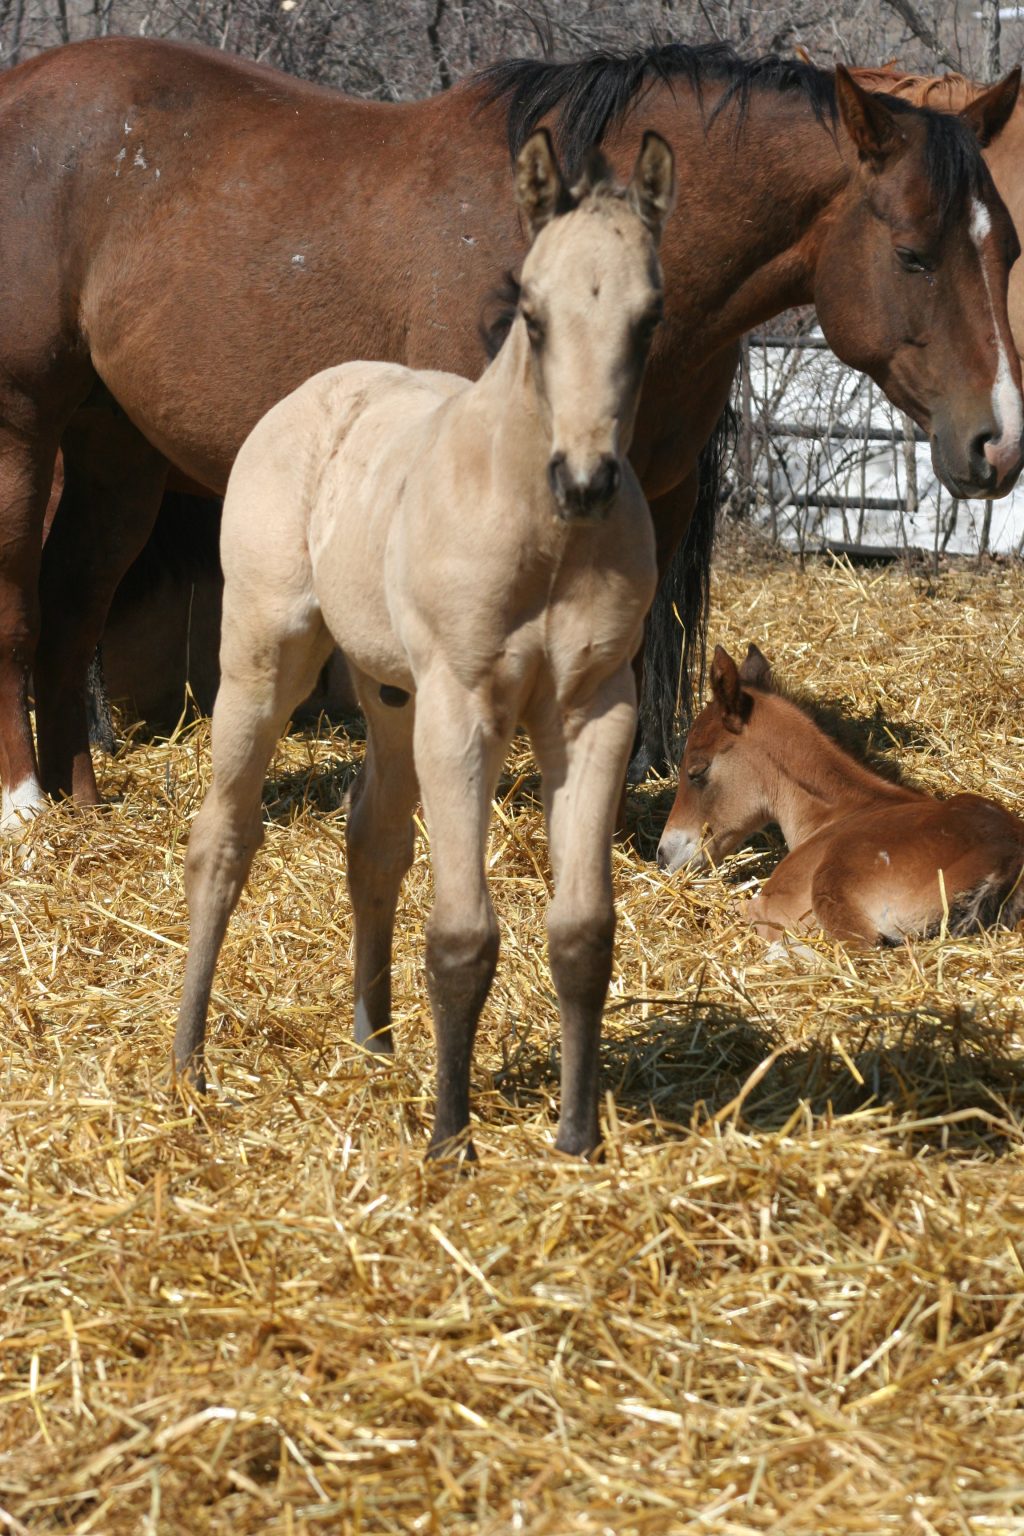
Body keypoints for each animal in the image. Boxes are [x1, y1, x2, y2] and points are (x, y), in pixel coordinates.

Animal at [1, 38, 1021, 836]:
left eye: (1005, 247)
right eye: (912, 255)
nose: (998, 444)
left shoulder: (656, 501)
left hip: (117, 457)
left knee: (72, 610)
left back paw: (83, 805)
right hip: (22, 431)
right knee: (20, 610)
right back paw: (24, 805)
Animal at [174, 129, 673, 1158]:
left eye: (650, 319)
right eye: (533, 315)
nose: (587, 480)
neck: (543, 532)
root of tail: (315, 390)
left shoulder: (596, 709)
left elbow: (582, 931)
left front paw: (577, 1135)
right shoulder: (463, 707)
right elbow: (461, 937)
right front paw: (451, 1139)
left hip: (389, 692)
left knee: (373, 838)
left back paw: (374, 1043)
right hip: (265, 657)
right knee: (223, 837)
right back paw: (188, 1062)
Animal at [657, 644, 1024, 944]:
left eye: (697, 770)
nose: (663, 855)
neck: (835, 813)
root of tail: (1006, 859)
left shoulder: (775, 905)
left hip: (832, 889)